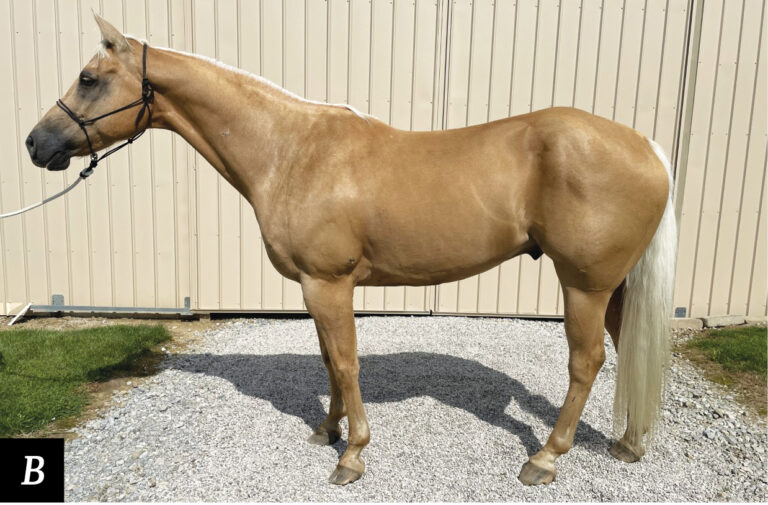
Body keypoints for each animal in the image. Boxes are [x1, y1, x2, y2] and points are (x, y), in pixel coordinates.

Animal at [25, 14, 676, 486]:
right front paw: (327, 430)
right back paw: (628, 444)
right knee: (626, 346)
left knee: (587, 361)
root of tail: (644, 145)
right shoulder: (317, 287)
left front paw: (352, 455)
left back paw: (545, 459)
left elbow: (344, 362)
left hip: (585, 284)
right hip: (615, 285)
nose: (35, 143)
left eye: (88, 78)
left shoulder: (328, 282)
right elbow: (326, 360)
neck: (291, 150)